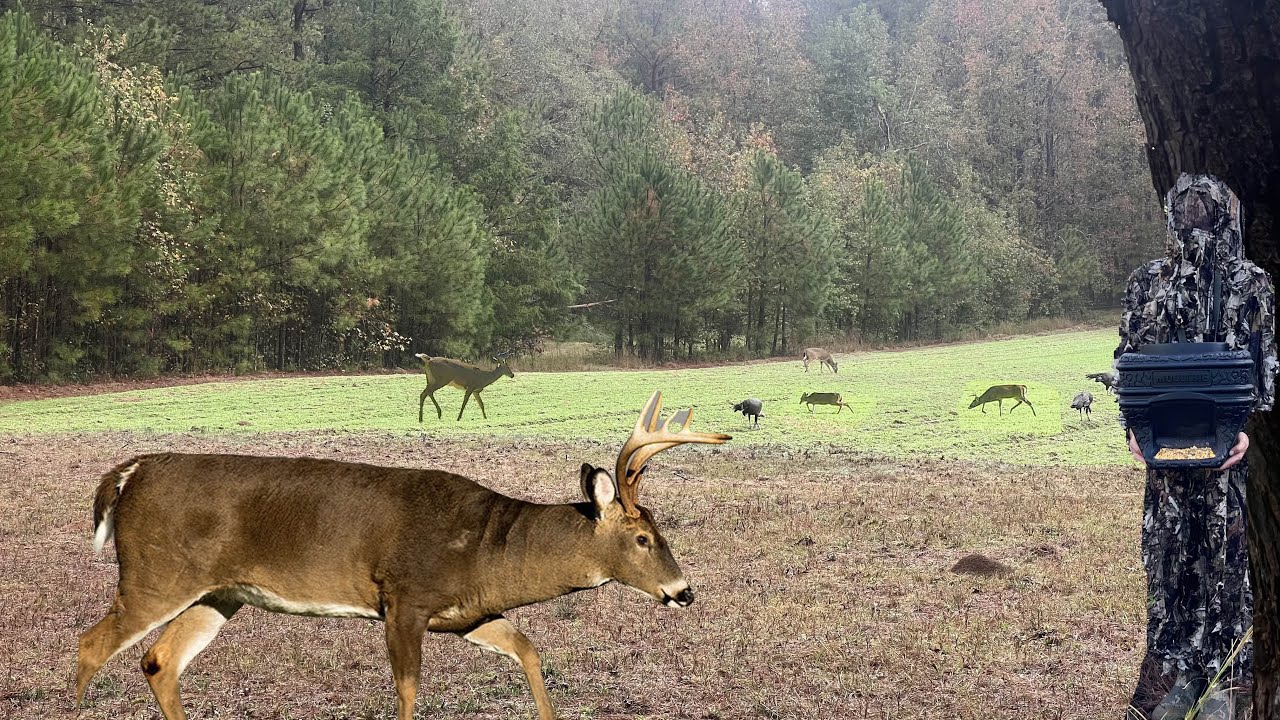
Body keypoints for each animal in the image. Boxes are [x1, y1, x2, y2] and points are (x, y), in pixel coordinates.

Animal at [75, 391, 730, 720]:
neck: (492, 551)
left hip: (217, 593)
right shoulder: (403, 597)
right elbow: (409, 692)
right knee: (91, 644)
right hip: (154, 573)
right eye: (643, 539)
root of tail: (128, 472)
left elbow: (528, 650)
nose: (684, 591)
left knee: (158, 660)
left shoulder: (465, 613)